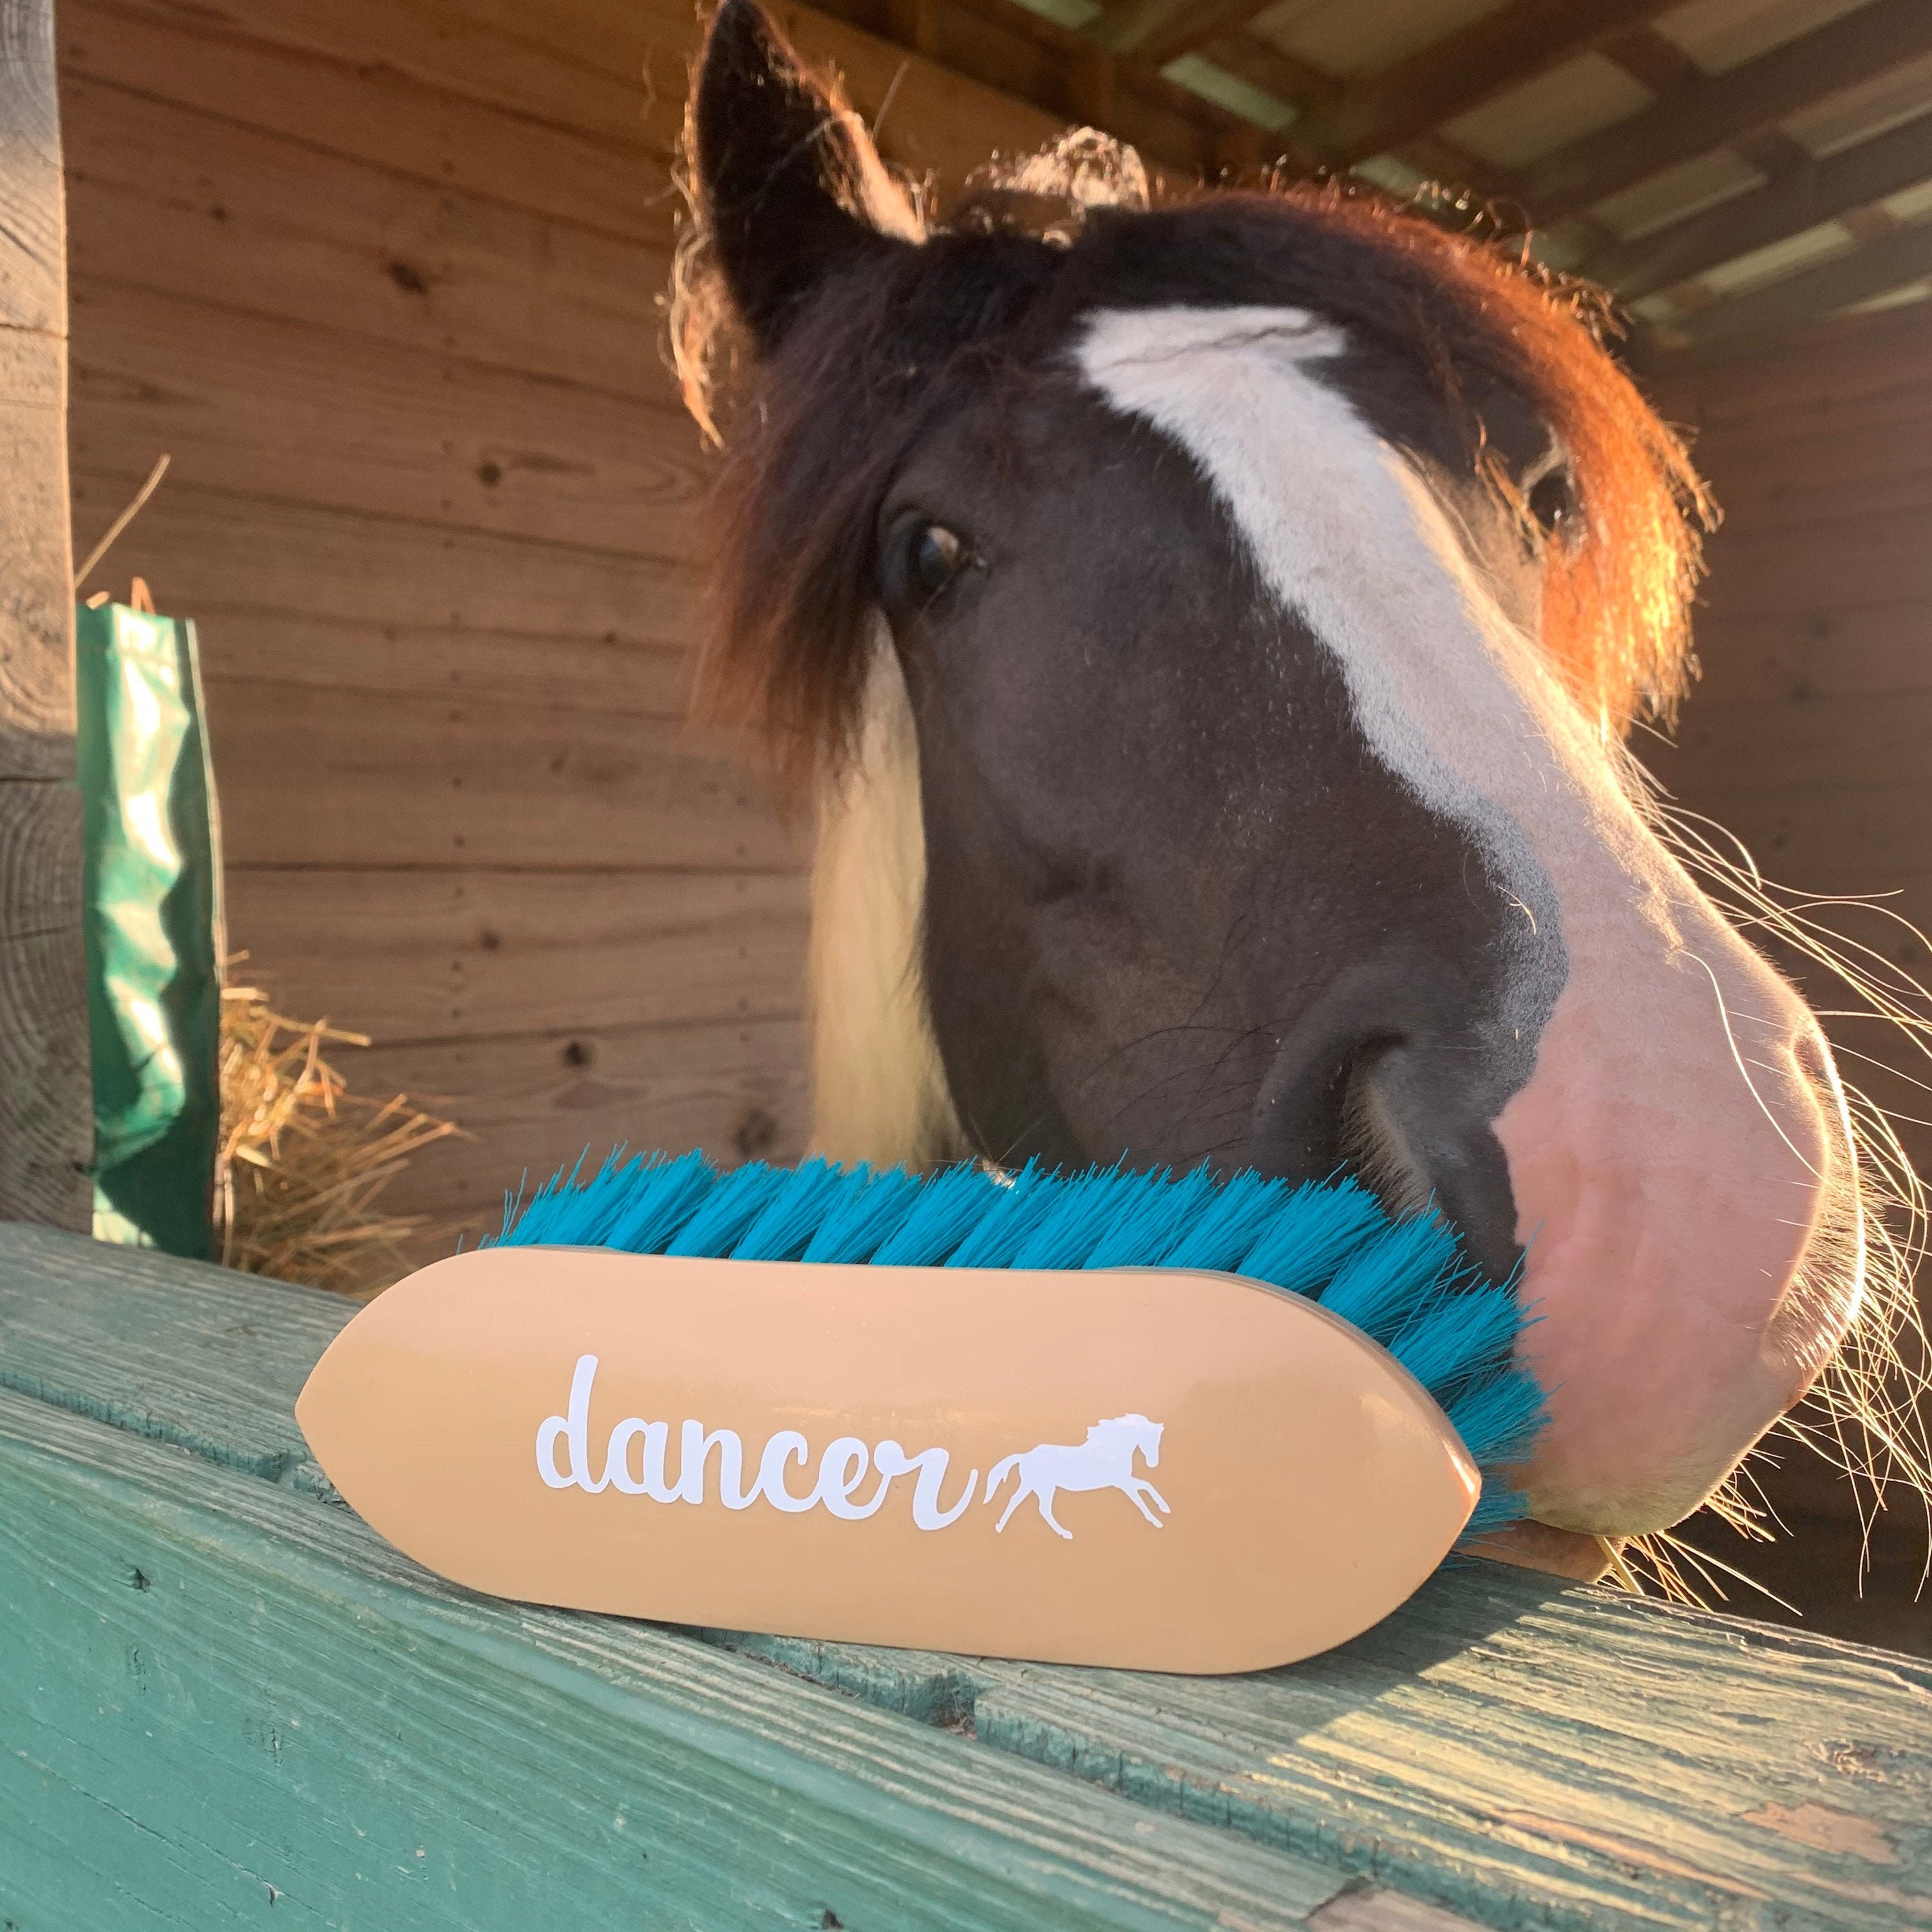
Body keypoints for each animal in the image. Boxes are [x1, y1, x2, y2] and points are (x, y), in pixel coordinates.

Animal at [986, 1415, 1169, 1539]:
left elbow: (1147, 1485)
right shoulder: (1122, 1483)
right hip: (1043, 1487)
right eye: (1151, 1439)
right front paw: (1156, 1520)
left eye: (1158, 1440)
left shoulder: (1123, 1481)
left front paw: (1165, 1508)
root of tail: (1025, 1456)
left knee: (1017, 1501)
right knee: (1042, 1508)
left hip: (1032, 1486)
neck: (1110, 1450)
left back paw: (1000, 1526)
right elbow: (1141, 1499)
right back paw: (1065, 1533)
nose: (1153, 1464)